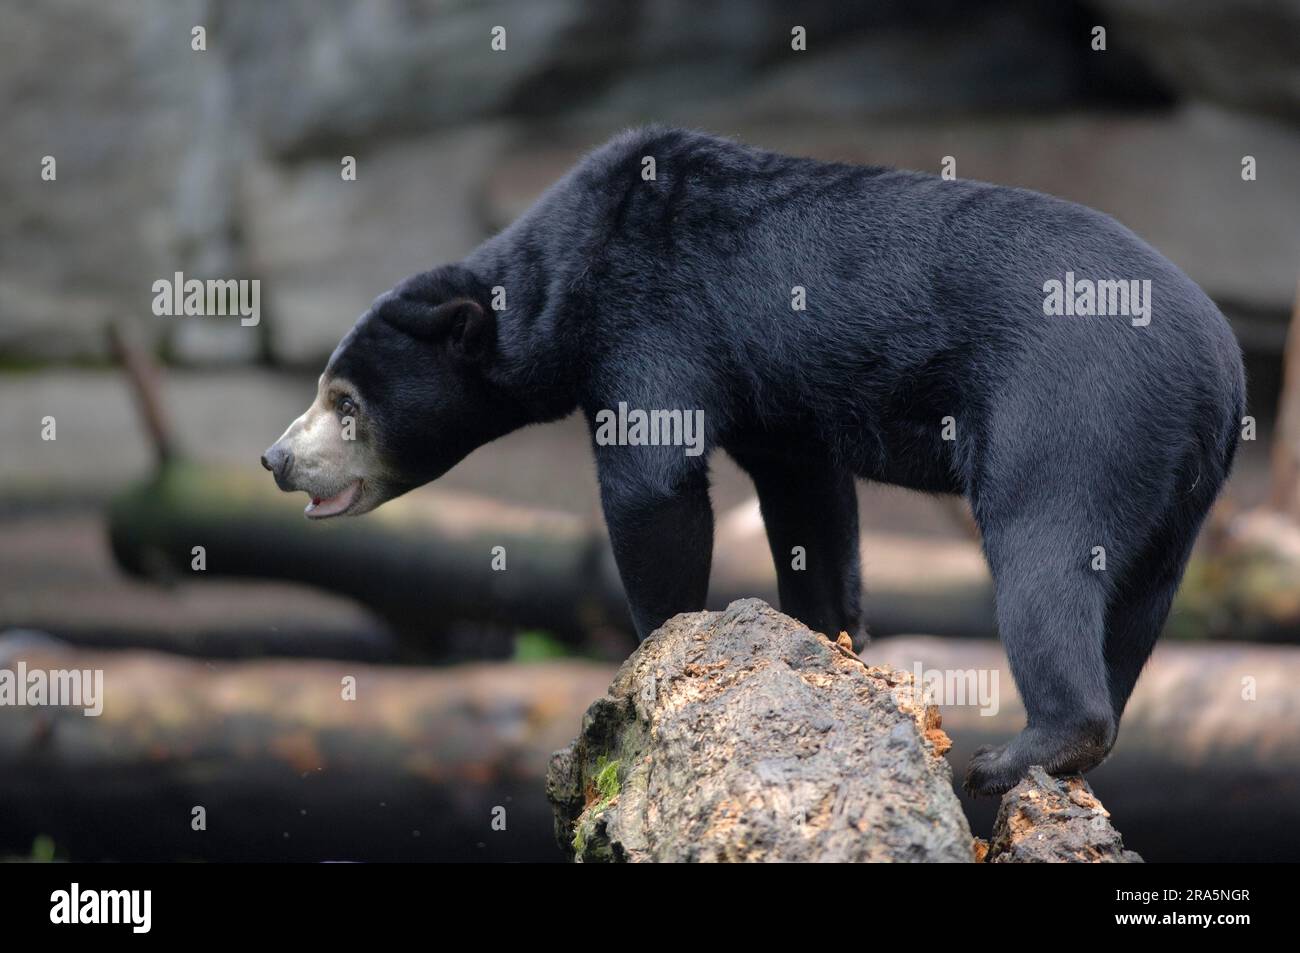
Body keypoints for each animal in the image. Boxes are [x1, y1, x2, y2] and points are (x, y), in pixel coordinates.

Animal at [263, 126, 1245, 796]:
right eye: (324, 391)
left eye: (345, 405)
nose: (275, 457)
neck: (558, 280)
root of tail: (1220, 363)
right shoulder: (783, 407)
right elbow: (808, 496)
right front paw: (829, 639)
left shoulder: (650, 309)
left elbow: (651, 478)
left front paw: (650, 659)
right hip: (1178, 487)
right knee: (1138, 602)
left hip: (1077, 414)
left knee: (1043, 553)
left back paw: (1012, 757)